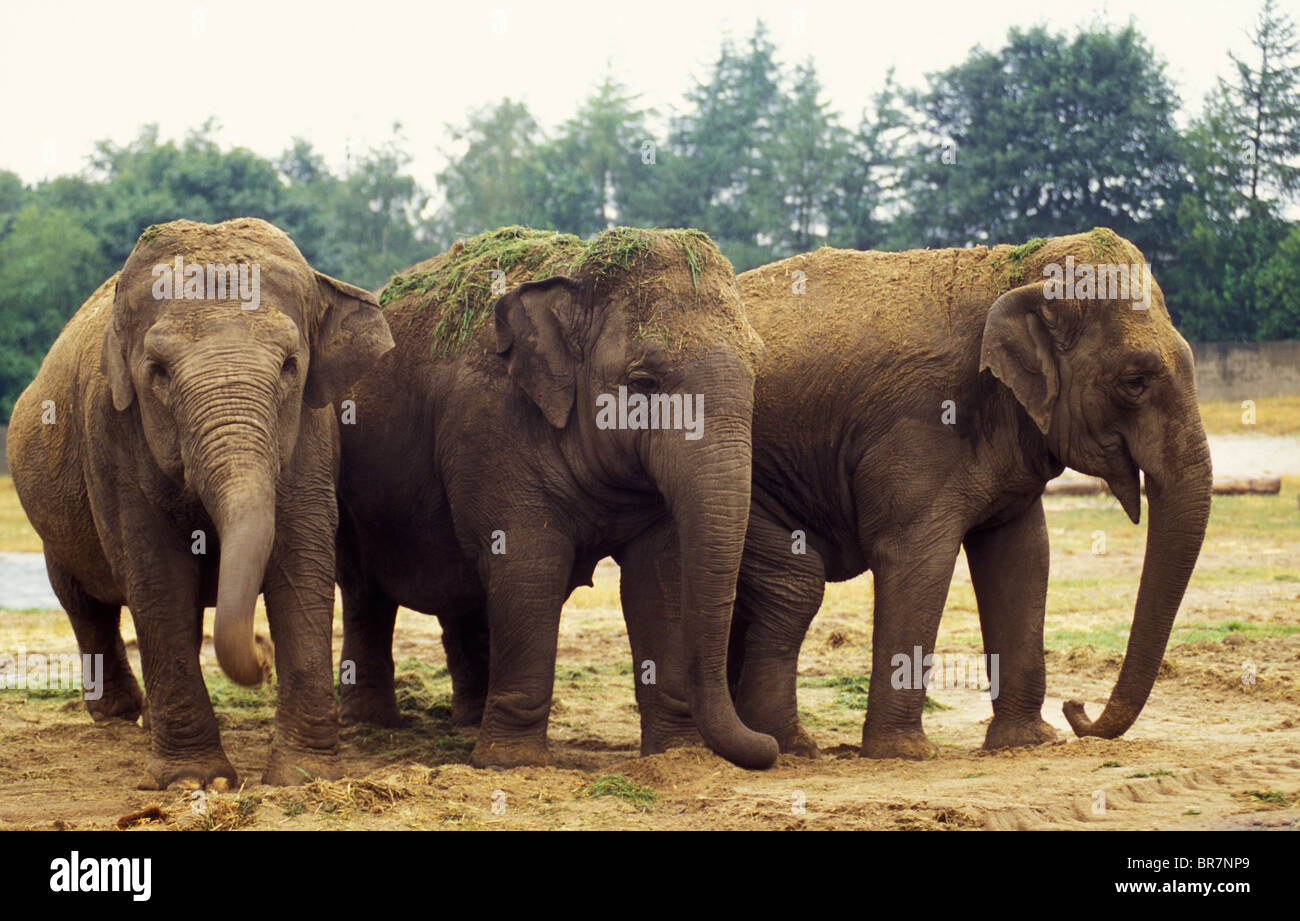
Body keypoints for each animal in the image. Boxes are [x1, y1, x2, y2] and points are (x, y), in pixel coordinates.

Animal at [5, 218, 394, 788]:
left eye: (290, 365)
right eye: (158, 371)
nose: (263, 651)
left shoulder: (314, 431)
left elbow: (302, 559)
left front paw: (302, 776)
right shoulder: (110, 432)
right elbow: (156, 573)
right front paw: (196, 781)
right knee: (82, 599)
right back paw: (119, 715)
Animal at [334, 225, 779, 770]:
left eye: (758, 369)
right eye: (644, 383)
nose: (770, 746)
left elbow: (657, 574)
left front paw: (673, 756)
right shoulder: (491, 427)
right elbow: (530, 564)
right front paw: (511, 764)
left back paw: (466, 722)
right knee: (364, 591)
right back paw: (370, 723)